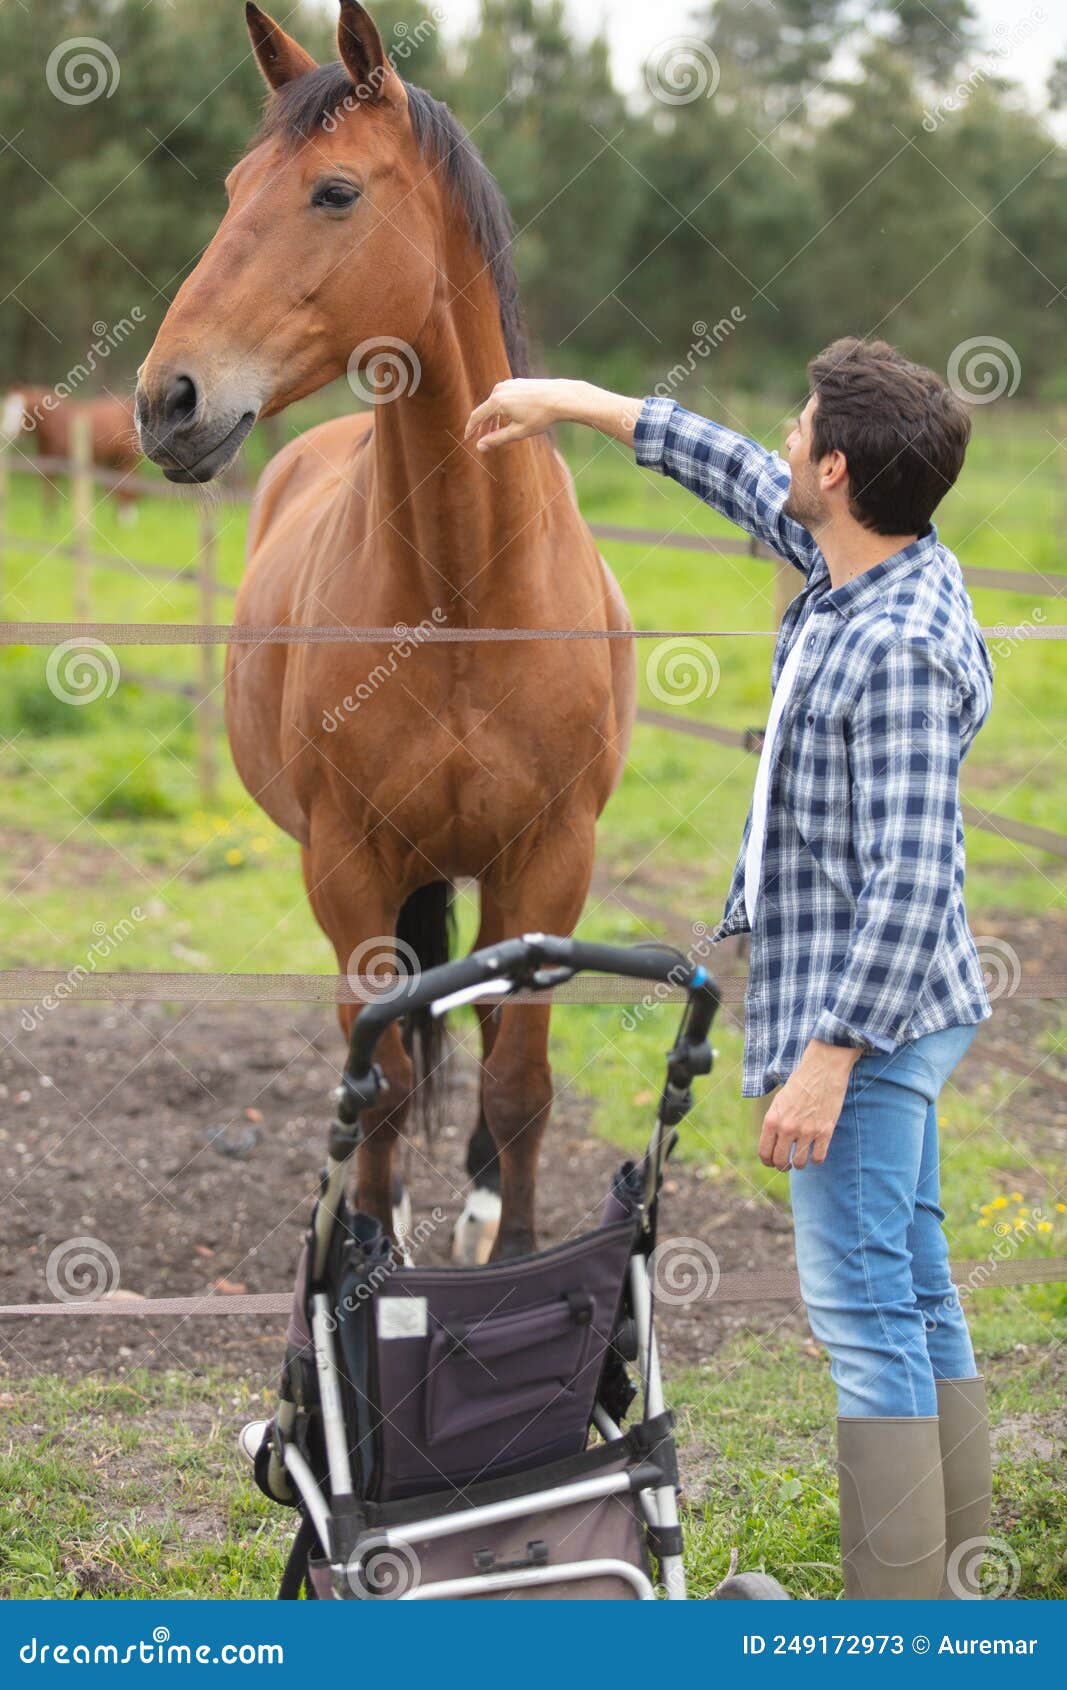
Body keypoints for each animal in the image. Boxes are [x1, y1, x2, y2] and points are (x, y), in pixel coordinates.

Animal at [2, 387, 140, 523]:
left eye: (24, 409)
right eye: (7, 410)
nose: (8, 432)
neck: (56, 425)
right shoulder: (47, 466)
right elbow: (48, 490)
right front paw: (49, 520)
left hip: (128, 461)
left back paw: (126, 518)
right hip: (113, 460)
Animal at [134, 1, 635, 1263]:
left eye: (335, 192)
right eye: (232, 185)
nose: (166, 402)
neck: (464, 600)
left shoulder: (548, 861)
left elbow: (518, 1080)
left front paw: (517, 1255)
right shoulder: (347, 864)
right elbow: (386, 1077)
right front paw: (367, 1250)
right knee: (382, 1042)